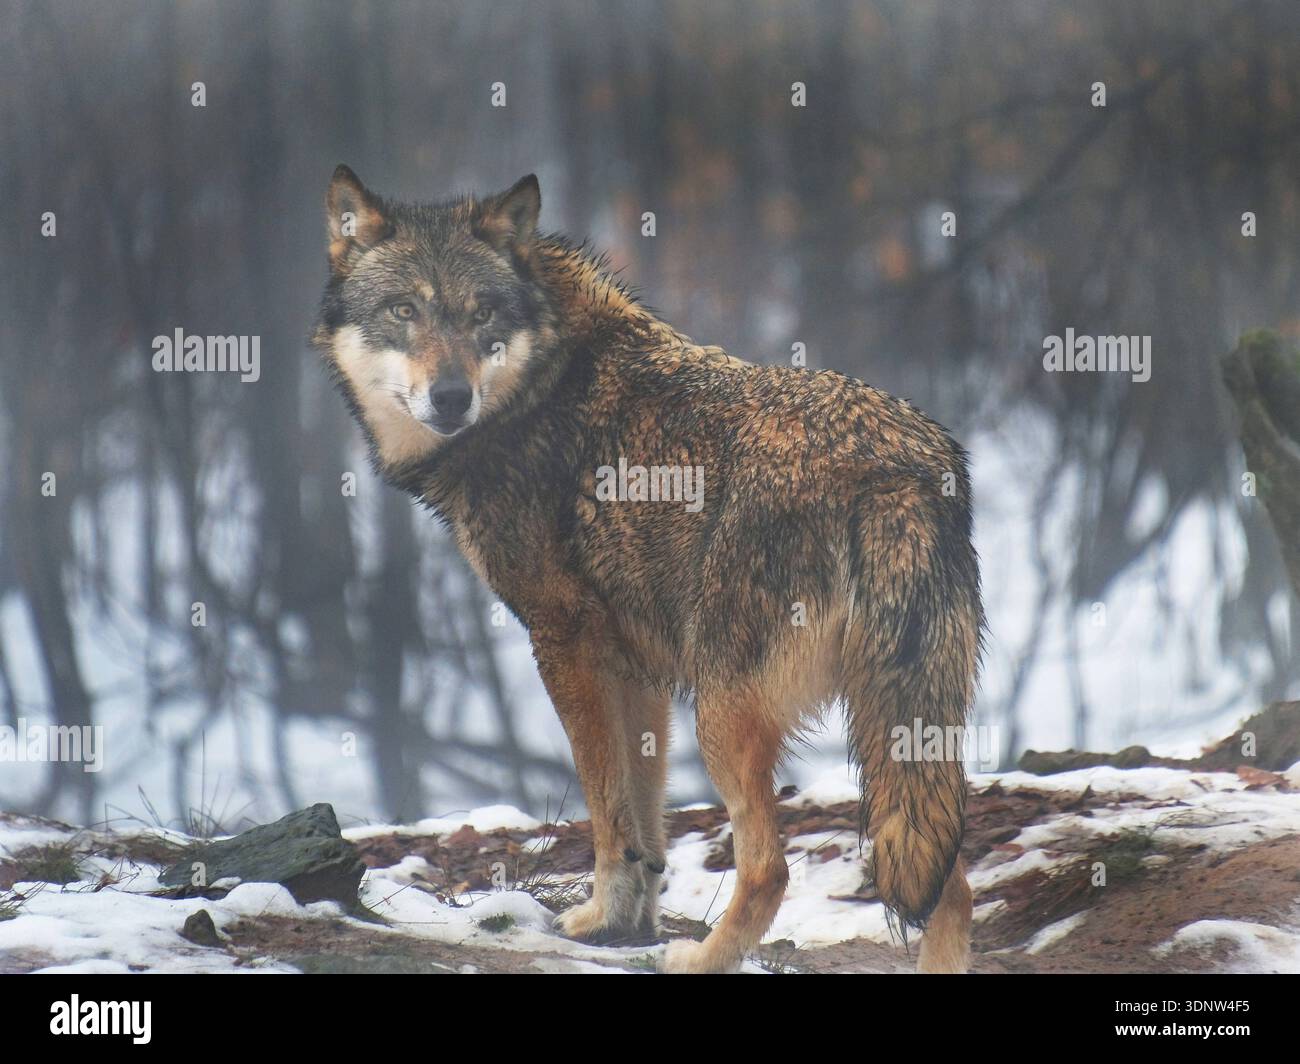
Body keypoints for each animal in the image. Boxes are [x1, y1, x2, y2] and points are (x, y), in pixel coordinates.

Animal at [312, 166, 984, 974]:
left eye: (482, 315)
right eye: (404, 311)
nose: (450, 396)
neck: (542, 382)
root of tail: (899, 465)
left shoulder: (564, 644)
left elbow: (606, 811)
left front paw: (602, 918)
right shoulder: (638, 666)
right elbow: (646, 823)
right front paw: (628, 922)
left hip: (725, 712)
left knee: (771, 868)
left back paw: (698, 959)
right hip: (896, 725)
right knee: (952, 882)